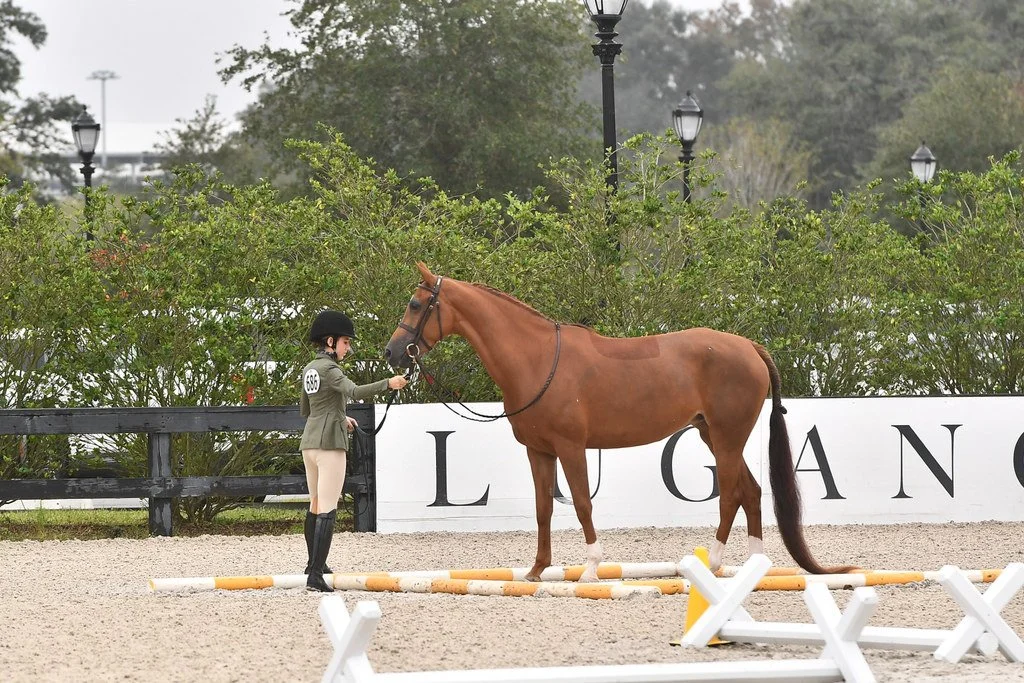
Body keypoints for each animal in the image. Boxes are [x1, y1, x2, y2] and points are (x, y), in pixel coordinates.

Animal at [385, 262, 852, 582]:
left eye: (415, 303)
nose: (392, 354)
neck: (537, 359)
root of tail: (750, 347)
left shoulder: (571, 448)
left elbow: (582, 503)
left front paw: (591, 568)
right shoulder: (538, 451)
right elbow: (542, 508)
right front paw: (537, 570)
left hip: (726, 438)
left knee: (731, 496)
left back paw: (716, 561)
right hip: (713, 435)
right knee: (751, 493)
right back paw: (752, 563)